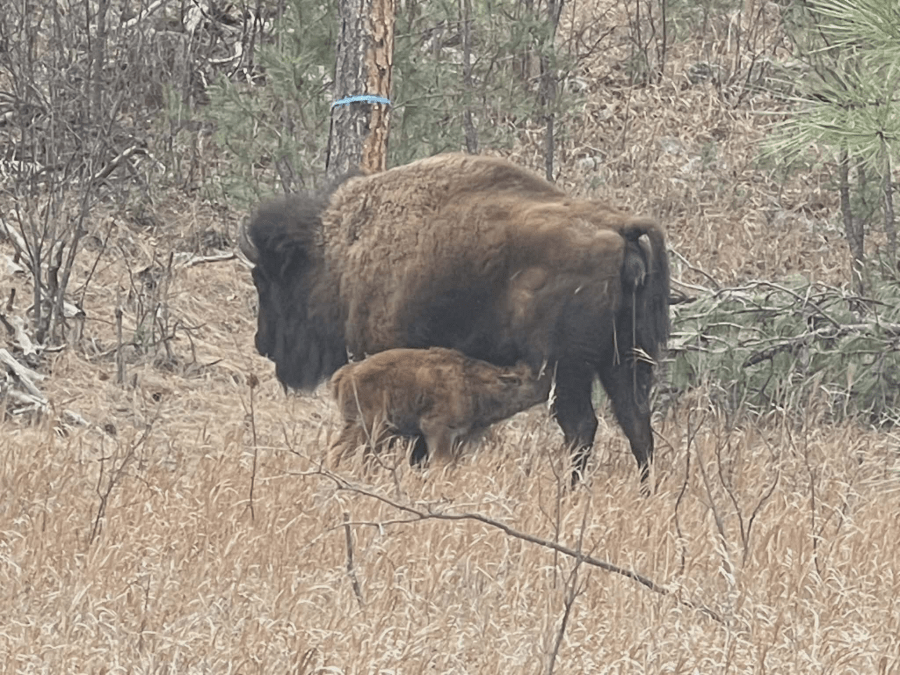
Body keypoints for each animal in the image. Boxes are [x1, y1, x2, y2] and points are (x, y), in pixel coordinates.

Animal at [240, 153, 670, 487]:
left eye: (265, 278)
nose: (263, 343)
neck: (344, 252)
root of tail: (621, 229)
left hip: (570, 370)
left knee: (582, 428)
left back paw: (570, 490)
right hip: (624, 362)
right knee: (637, 425)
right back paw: (644, 491)